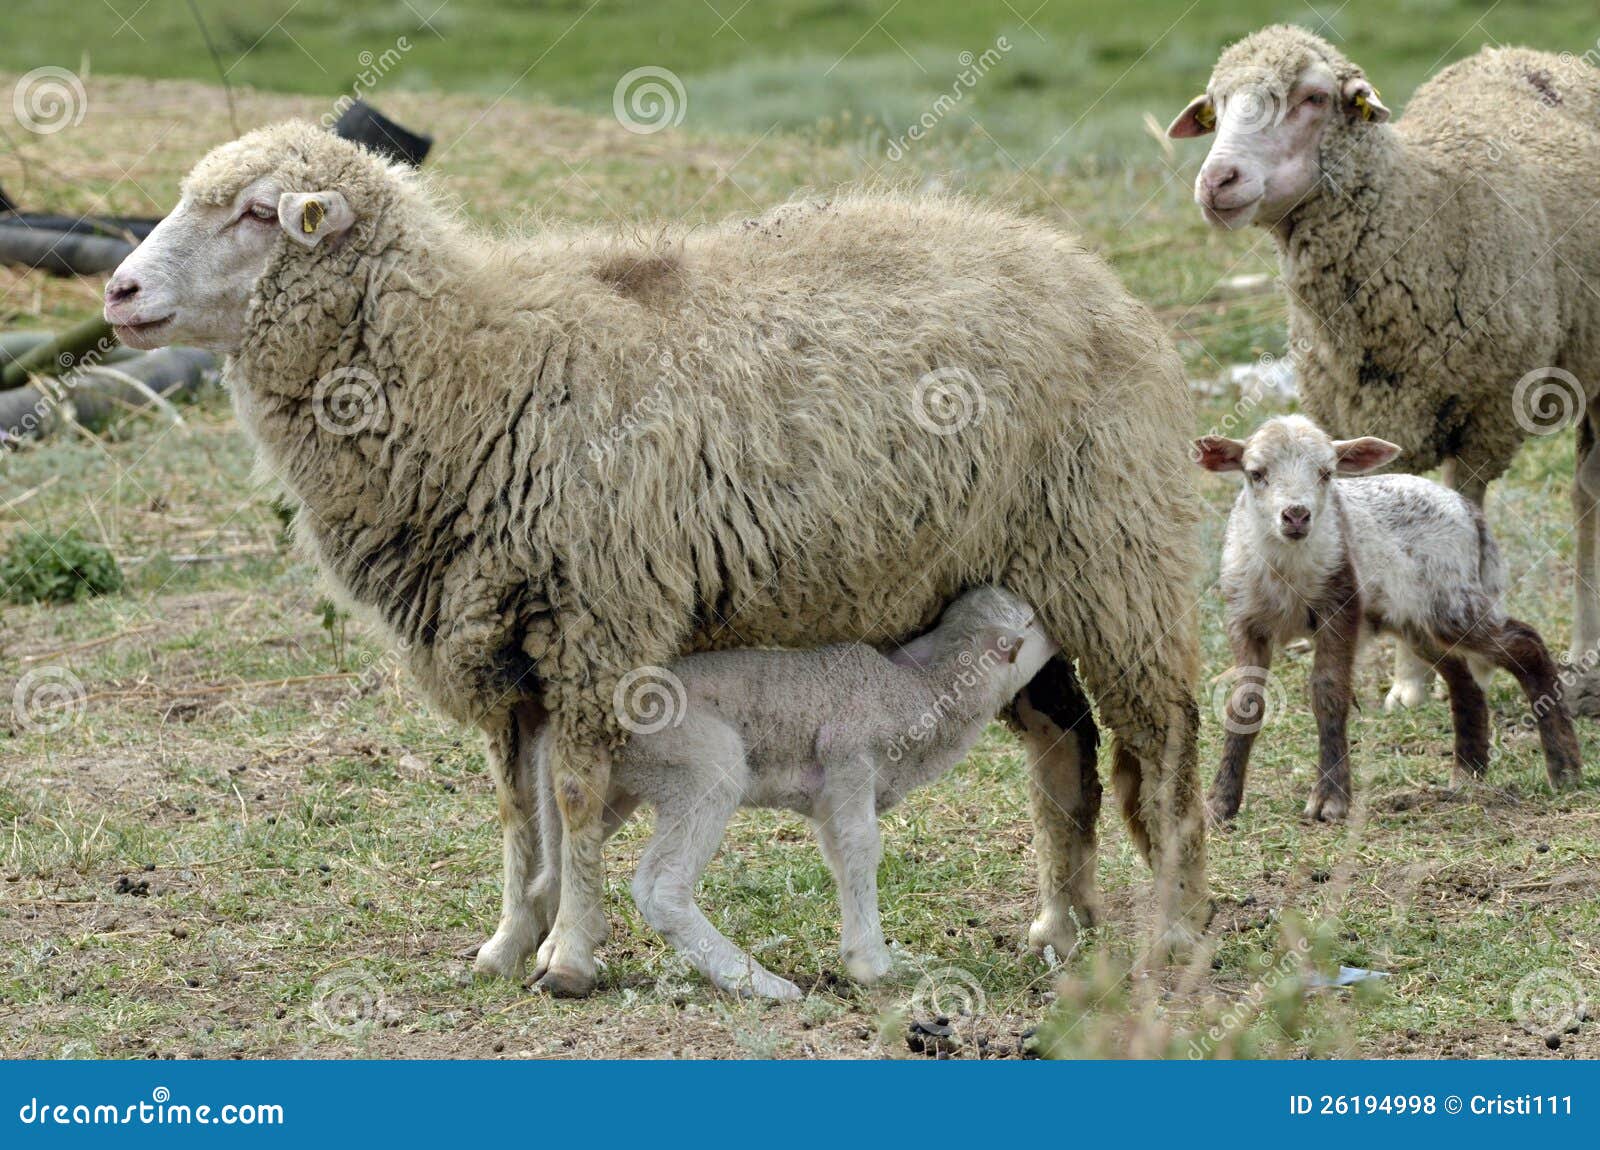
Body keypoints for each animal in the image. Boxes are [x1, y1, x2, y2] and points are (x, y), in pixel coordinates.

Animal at [526, 586, 1055, 1000]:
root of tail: (567, 720)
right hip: (702, 763)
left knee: (564, 850)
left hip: (621, 784)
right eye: (1031, 620)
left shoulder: (828, 799)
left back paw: (553, 949)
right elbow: (863, 849)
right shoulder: (849, 758)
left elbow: (840, 856)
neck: (921, 692)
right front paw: (873, 962)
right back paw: (755, 981)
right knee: (660, 887)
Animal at [1167, 25, 1600, 716]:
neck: (1421, 212)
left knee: (1587, 493)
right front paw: (1407, 678)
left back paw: (1586, 652)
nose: (1217, 180)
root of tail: (1527, 52)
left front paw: (1447, 671)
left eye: (1314, 97)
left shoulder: (1485, 415)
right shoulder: (1367, 412)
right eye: (1217, 105)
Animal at [1195, 415, 1582, 823]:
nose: (1296, 515)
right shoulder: (1244, 619)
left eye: (1326, 473)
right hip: (1416, 622)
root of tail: (1465, 507)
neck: (1286, 568)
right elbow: (1243, 703)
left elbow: (1329, 693)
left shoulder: (1341, 607)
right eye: (1256, 474)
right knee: (1463, 679)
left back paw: (1564, 767)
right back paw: (1468, 774)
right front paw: (1220, 802)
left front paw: (1330, 799)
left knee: (1526, 644)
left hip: (1452, 602)